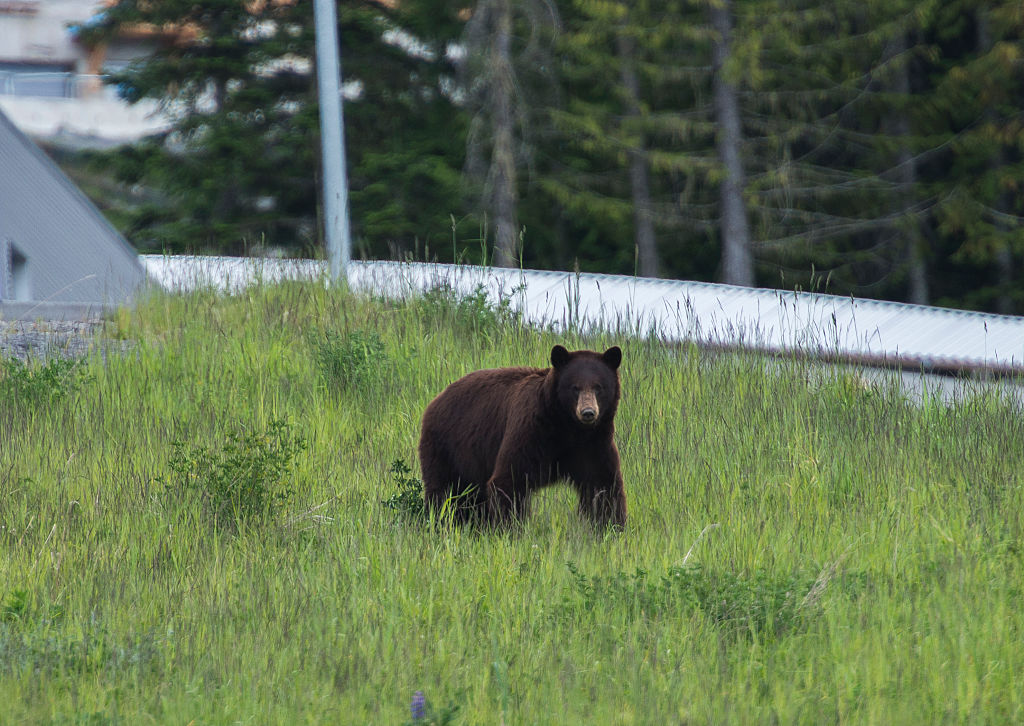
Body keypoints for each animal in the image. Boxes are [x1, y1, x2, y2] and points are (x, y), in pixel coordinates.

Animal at [418, 344, 626, 528]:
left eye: (598, 387)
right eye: (575, 387)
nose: (588, 412)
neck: (567, 426)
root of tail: (436, 400)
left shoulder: (594, 442)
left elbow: (602, 485)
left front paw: (611, 526)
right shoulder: (532, 430)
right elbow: (510, 478)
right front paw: (510, 528)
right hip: (447, 446)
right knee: (444, 491)